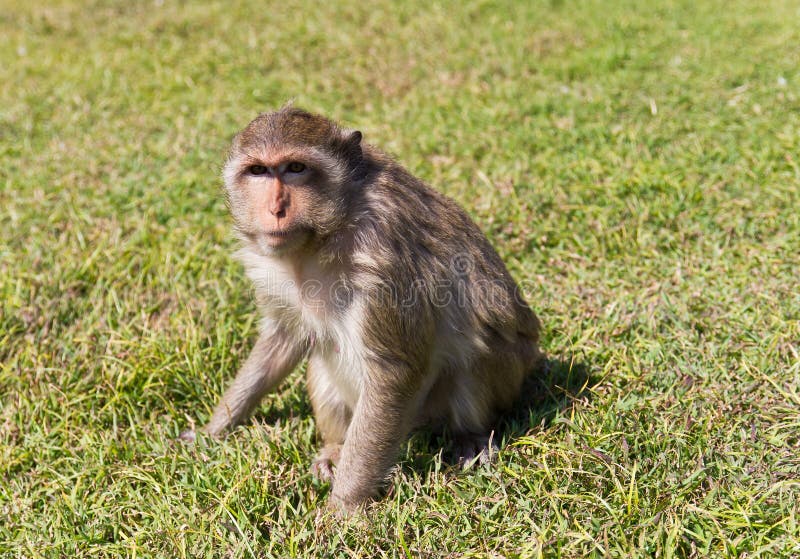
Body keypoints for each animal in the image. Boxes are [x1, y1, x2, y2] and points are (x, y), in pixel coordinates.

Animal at [180, 106, 542, 511]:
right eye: (258, 171)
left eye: (295, 168)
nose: (275, 209)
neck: (325, 235)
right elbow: (282, 340)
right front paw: (213, 431)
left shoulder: (382, 255)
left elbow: (394, 370)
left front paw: (342, 510)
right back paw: (336, 449)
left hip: (506, 370)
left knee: (474, 357)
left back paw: (471, 438)